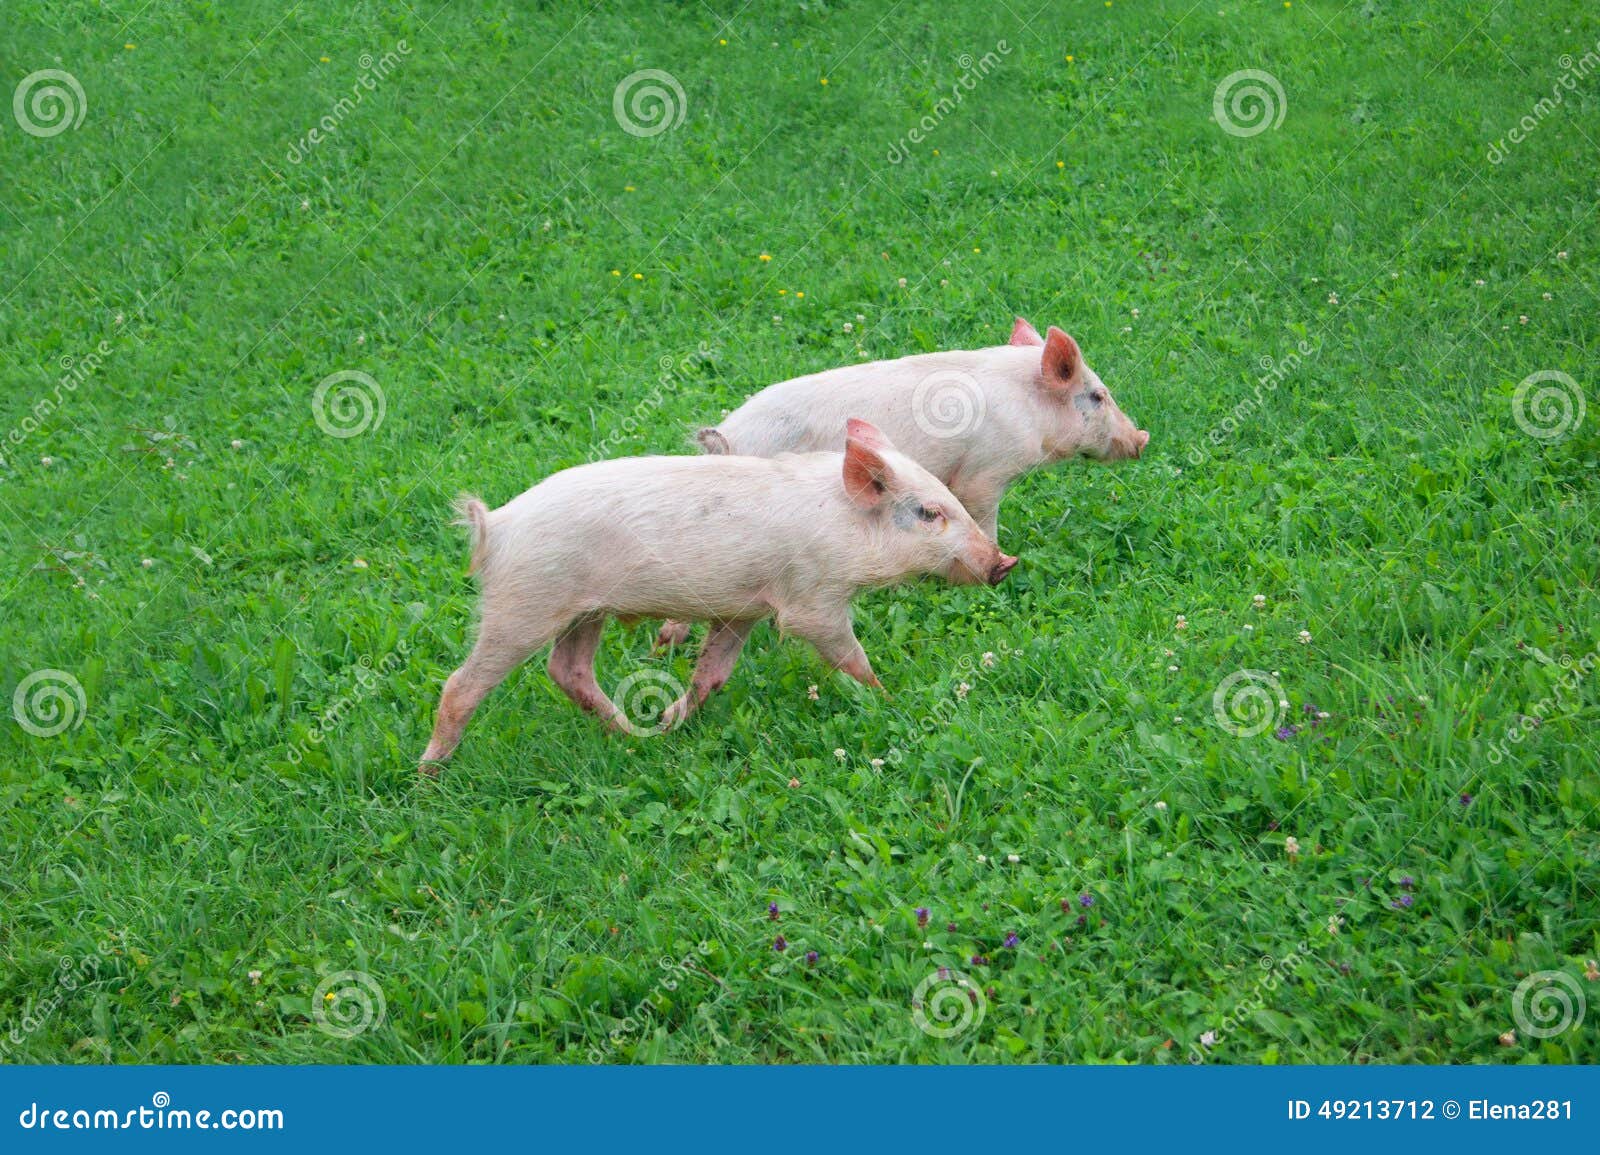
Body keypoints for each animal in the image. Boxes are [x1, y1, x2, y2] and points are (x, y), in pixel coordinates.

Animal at [419, 418, 1017, 772]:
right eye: (928, 513)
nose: (1003, 564)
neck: (842, 527)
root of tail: (494, 526)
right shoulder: (811, 599)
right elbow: (851, 657)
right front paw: (891, 701)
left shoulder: (743, 608)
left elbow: (713, 674)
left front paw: (671, 722)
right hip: (523, 604)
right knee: (461, 684)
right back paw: (429, 775)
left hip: (584, 612)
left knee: (567, 670)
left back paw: (634, 737)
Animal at [654, 318, 1146, 649]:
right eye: (1097, 396)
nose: (1142, 439)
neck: (1029, 411)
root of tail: (728, 436)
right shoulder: (986, 473)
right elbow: (983, 518)